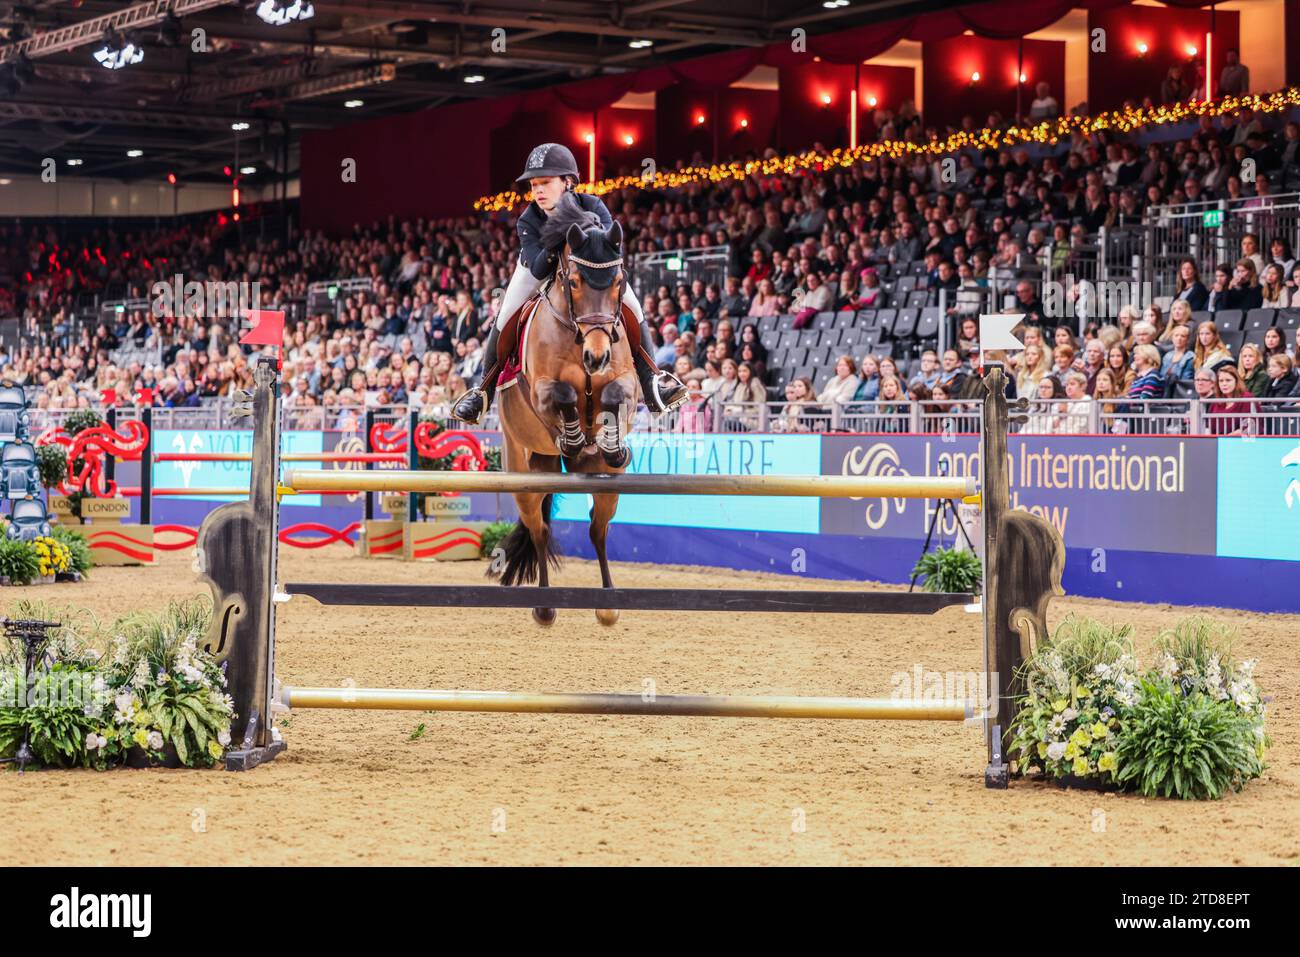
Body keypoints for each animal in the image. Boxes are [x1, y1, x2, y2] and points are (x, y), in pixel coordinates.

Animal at [488, 204, 639, 627]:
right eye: (573, 282)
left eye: (618, 282)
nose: (596, 357)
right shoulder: (540, 391)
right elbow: (564, 393)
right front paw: (573, 435)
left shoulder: (626, 382)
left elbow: (616, 394)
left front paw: (611, 442)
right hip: (524, 470)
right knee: (538, 529)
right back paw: (545, 607)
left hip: (605, 484)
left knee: (598, 531)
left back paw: (608, 605)